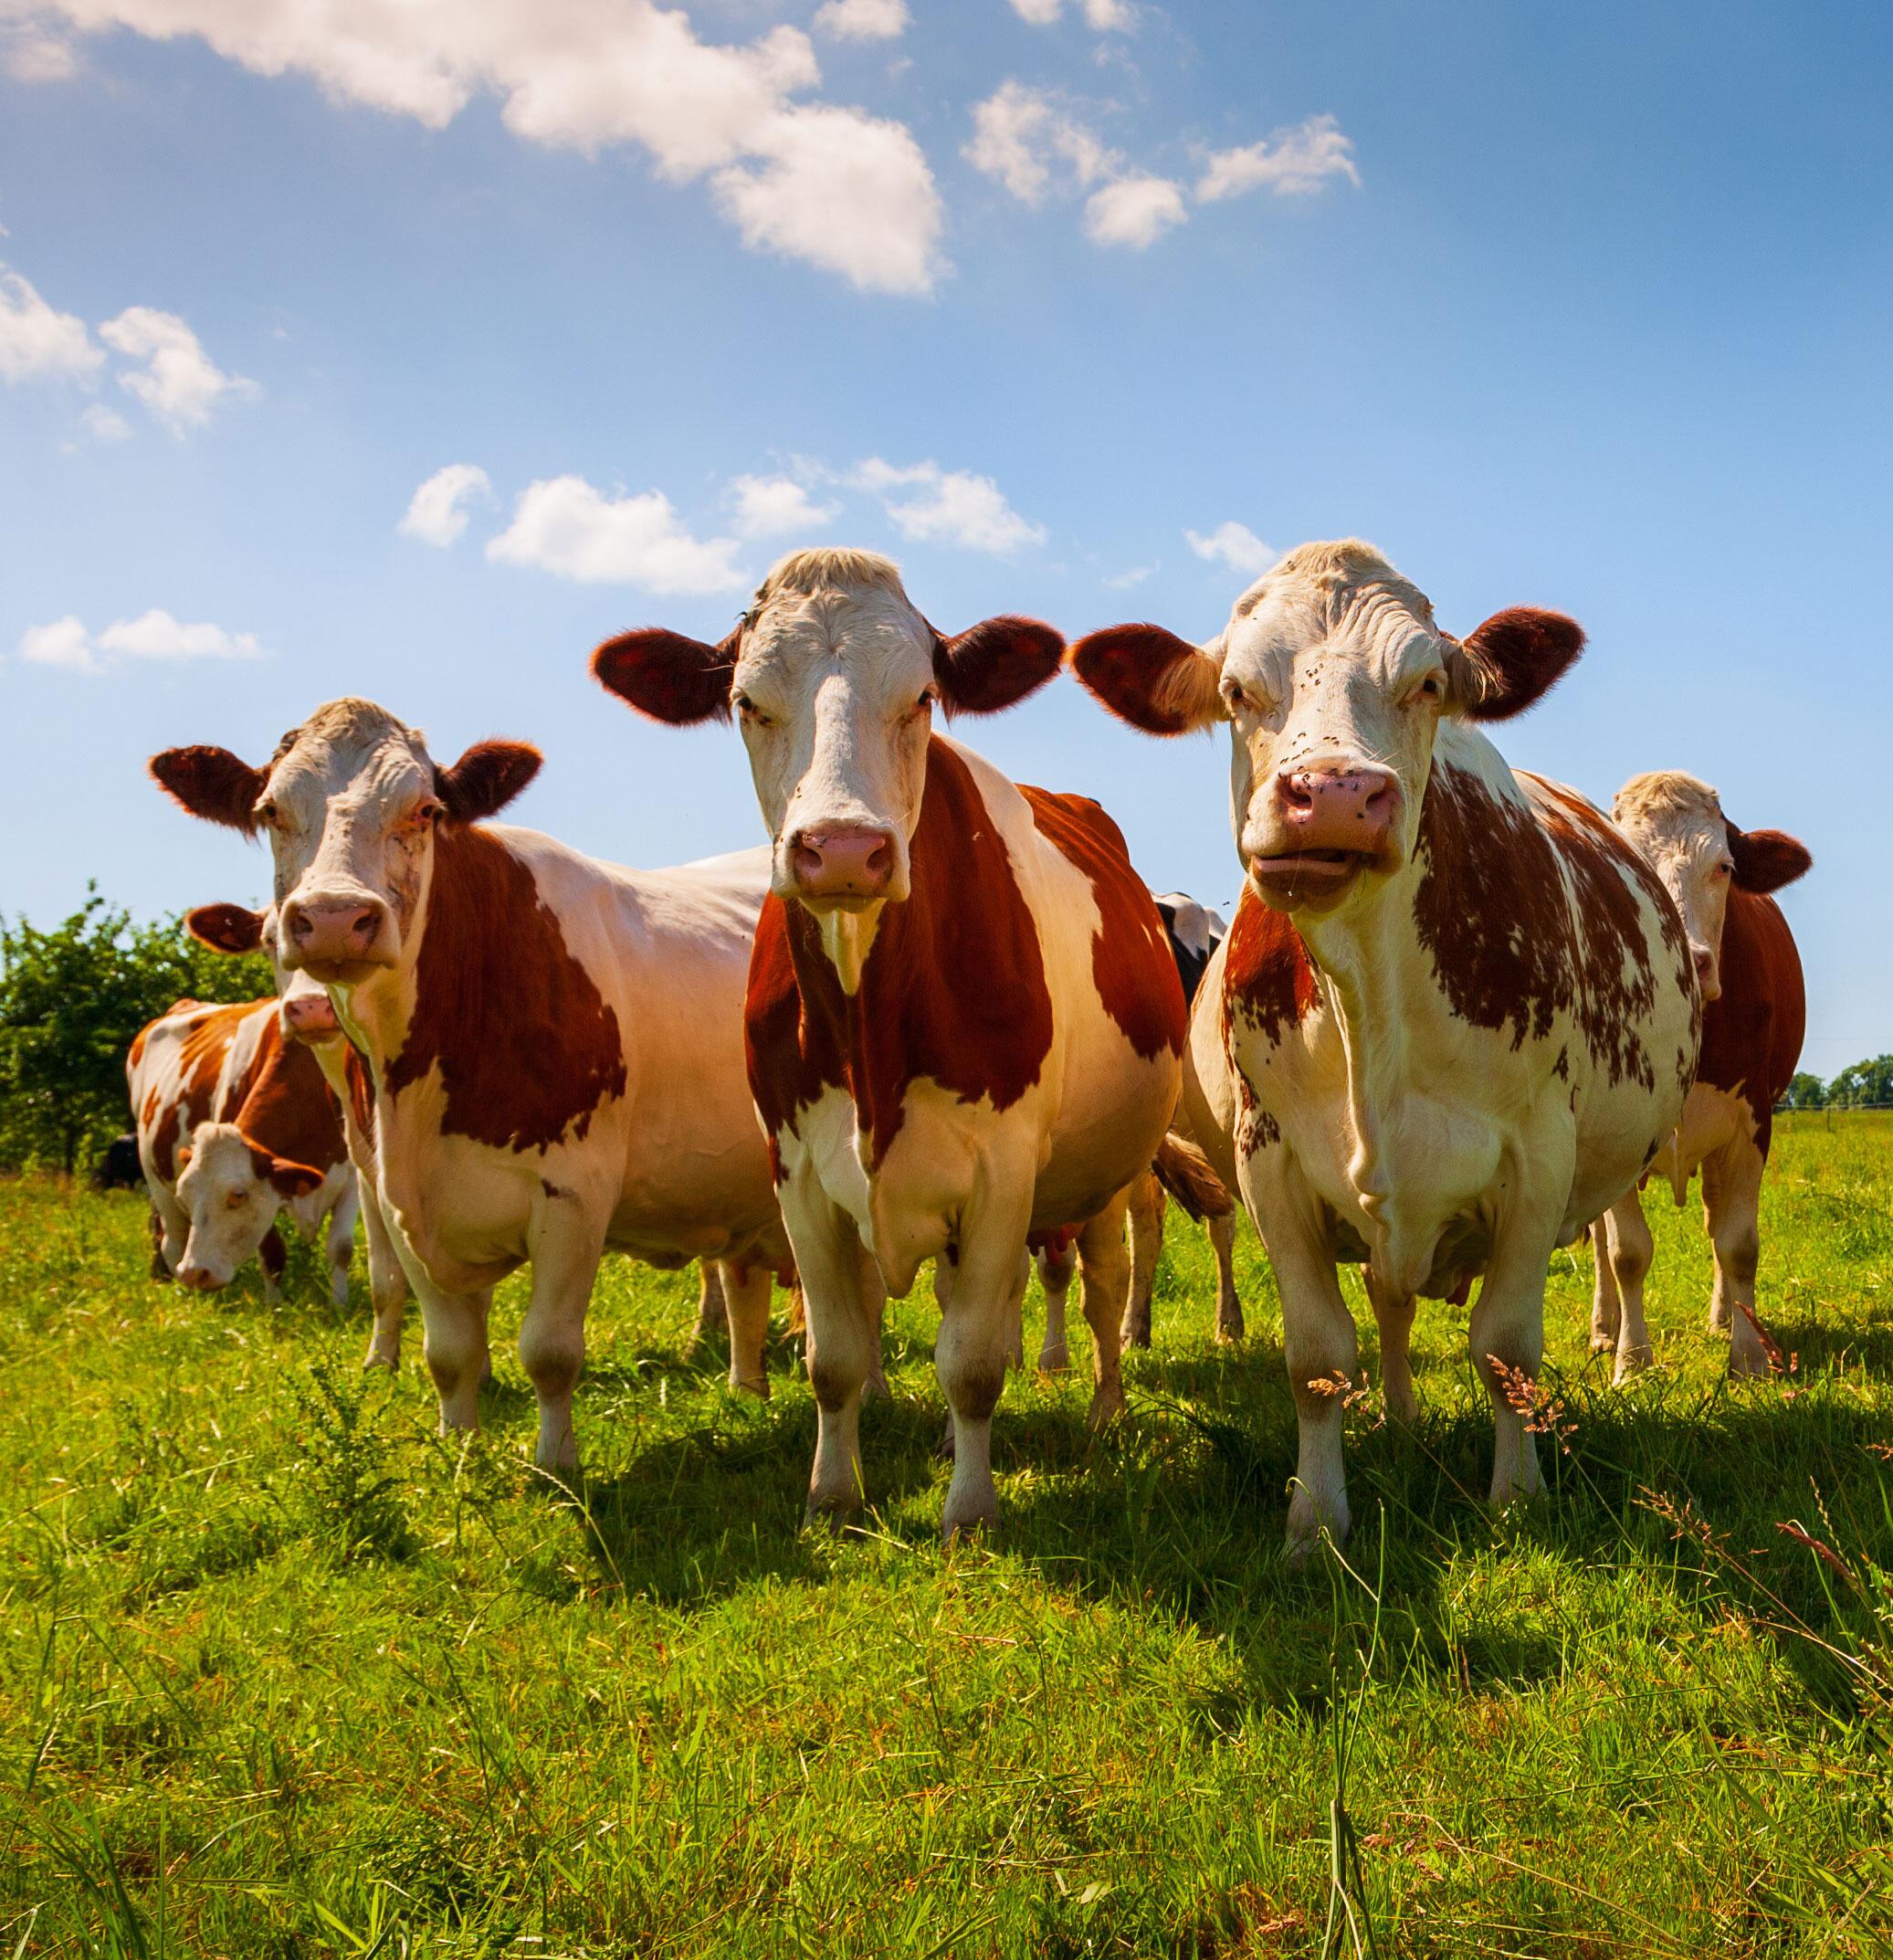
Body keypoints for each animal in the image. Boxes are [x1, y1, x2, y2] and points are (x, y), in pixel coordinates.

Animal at [127, 994, 357, 1303]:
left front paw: (340, 1305)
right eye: (185, 1195)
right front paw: (275, 1306)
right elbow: (272, 1254)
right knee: (171, 1242)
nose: (195, 1273)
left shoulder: (353, 1178)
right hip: (156, 1181)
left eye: (238, 1195)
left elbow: (341, 1247)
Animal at [592, 547, 1188, 1539]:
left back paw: (1105, 1409)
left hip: (1108, 1170)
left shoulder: (1002, 1171)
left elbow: (974, 1361)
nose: (840, 849)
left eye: (920, 696)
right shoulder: (797, 1171)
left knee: (1105, 1284)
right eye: (747, 700)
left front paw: (970, 1512)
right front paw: (833, 1495)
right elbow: (834, 1355)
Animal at [1070, 539, 1699, 1549]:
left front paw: (1516, 1497)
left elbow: (1506, 1348)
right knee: (1390, 1299)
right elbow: (1319, 1356)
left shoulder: (1538, 1158)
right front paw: (1315, 1521)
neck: (1370, 996)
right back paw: (1398, 1416)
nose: (1332, 794)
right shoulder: (1269, 1163)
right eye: (1237, 690)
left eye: (1429, 682)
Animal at [1587, 773, 1811, 1379]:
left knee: (1715, 1219)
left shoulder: (1752, 1123)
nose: (1688, 959)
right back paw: (1603, 1329)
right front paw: (1632, 1361)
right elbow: (1626, 1252)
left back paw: (1723, 1317)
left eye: (1724, 868)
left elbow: (1738, 1244)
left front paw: (1750, 1356)